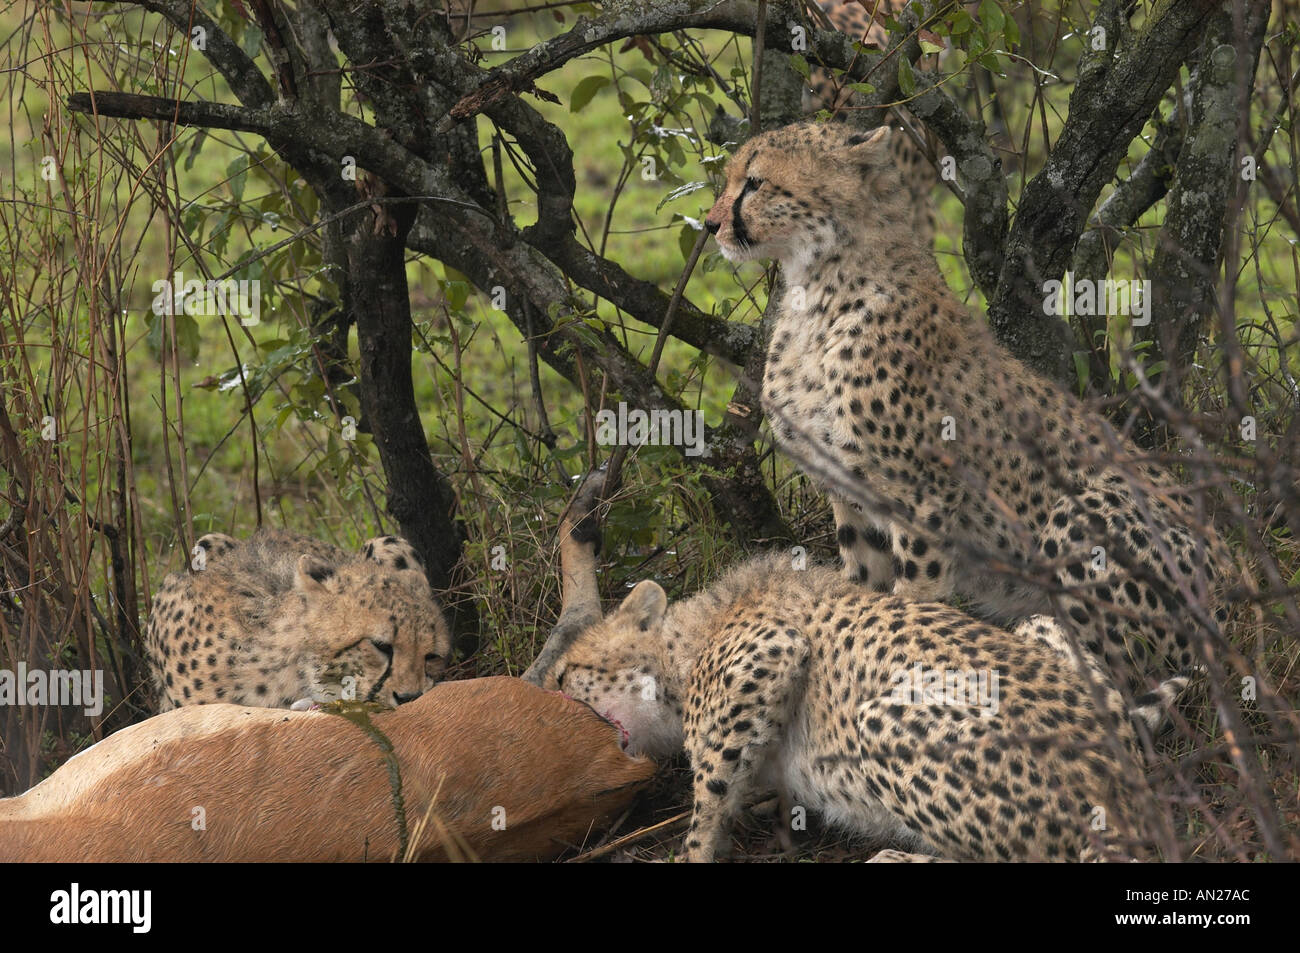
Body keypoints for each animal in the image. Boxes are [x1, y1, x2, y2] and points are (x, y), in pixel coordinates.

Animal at [545, 553, 1164, 862]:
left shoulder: (772, 649)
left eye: (563, 675)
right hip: (1042, 628)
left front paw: (694, 850)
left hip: (880, 720)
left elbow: (711, 792)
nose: (553, 700)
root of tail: (1120, 790)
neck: (683, 646)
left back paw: (901, 860)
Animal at [702, 120, 1233, 702]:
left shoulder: (924, 493)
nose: (710, 225)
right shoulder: (851, 493)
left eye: (755, 183)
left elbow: (914, 600)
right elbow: (862, 589)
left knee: (1126, 674)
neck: (817, 287)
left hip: (1082, 520)